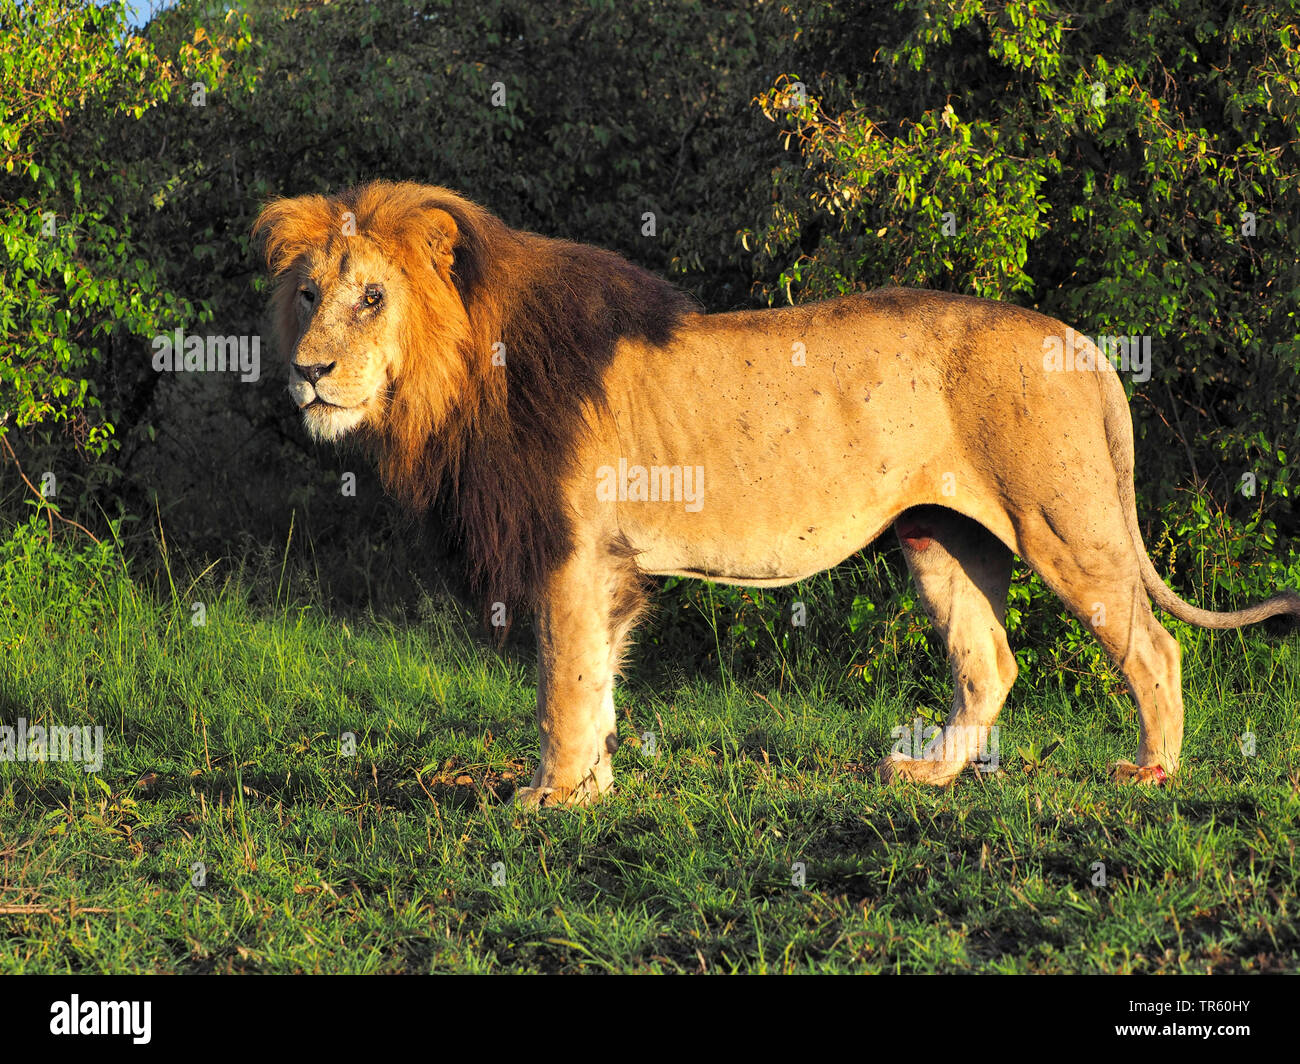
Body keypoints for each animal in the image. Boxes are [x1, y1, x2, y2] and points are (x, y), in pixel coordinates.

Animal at [253, 180, 1300, 806]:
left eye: (372, 297)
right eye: (306, 295)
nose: (308, 374)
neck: (458, 376)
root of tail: (1083, 344)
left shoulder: (570, 548)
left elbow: (563, 681)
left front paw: (549, 798)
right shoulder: (602, 561)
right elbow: (596, 682)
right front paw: (593, 788)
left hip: (1065, 523)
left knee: (1153, 647)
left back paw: (1154, 771)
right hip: (939, 536)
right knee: (991, 662)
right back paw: (928, 775)